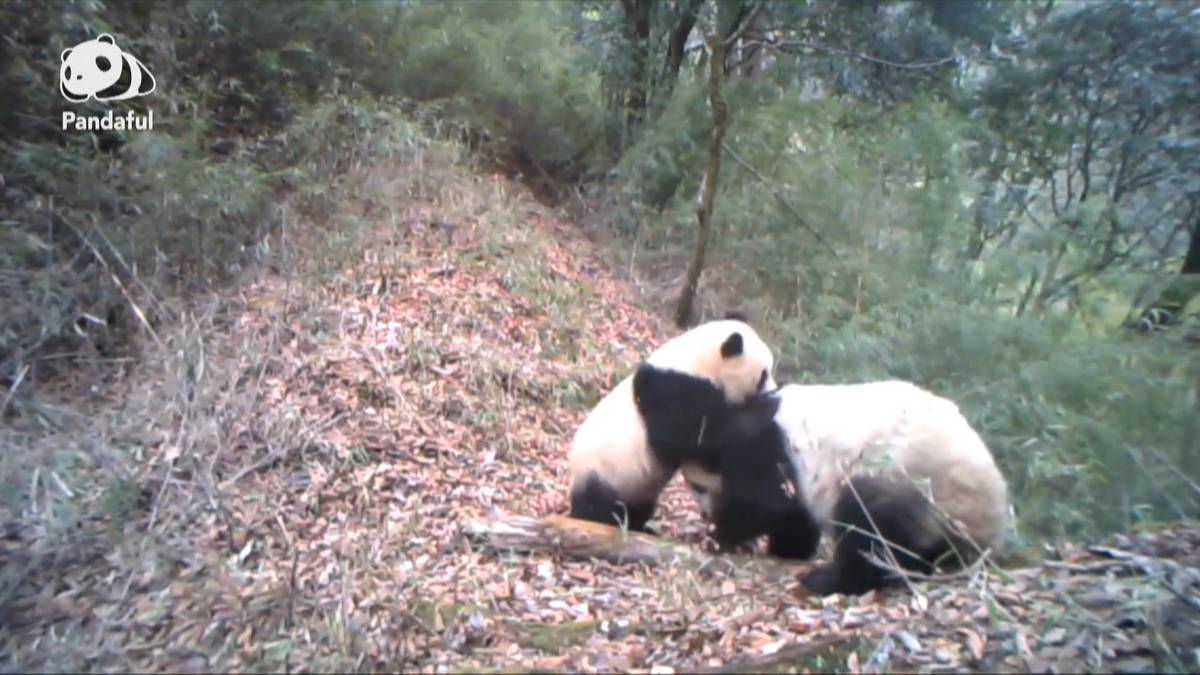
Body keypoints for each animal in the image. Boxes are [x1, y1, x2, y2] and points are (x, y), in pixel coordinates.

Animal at [567, 315, 777, 533]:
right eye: (763, 375)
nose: (773, 389)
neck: (698, 361)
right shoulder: (672, 390)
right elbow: (688, 437)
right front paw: (766, 408)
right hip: (604, 473)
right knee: (599, 507)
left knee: (640, 508)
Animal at [682, 380, 1010, 596]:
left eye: (697, 487)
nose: (705, 512)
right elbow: (794, 514)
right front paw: (788, 549)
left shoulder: (764, 443)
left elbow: (763, 502)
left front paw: (716, 536)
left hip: (904, 473)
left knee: (871, 528)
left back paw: (827, 581)